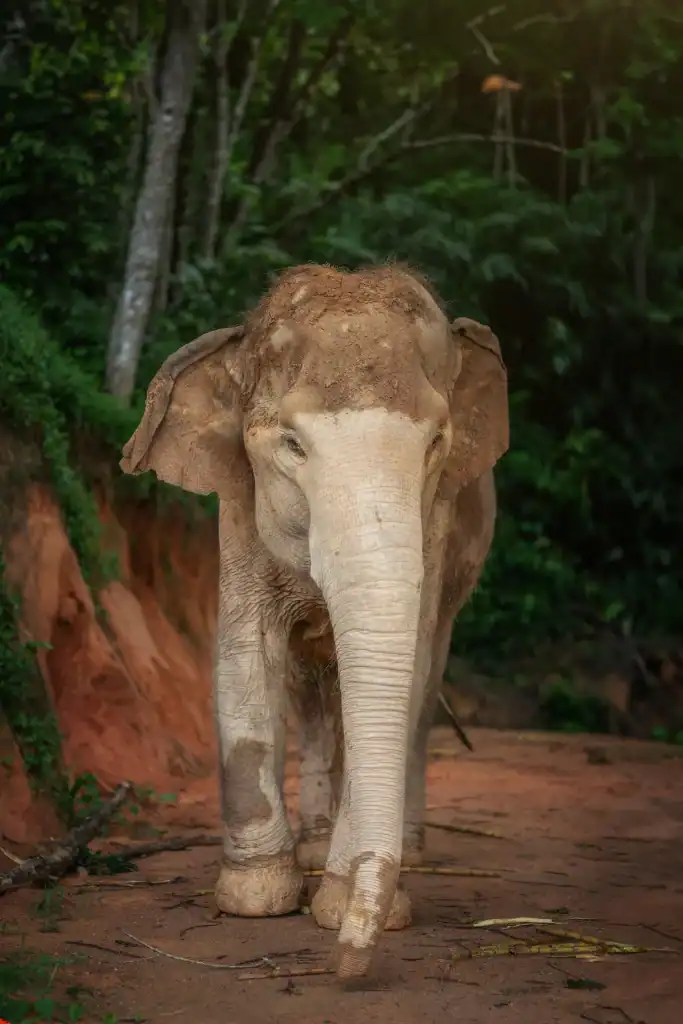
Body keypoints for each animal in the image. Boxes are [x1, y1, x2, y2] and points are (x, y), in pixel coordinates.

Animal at [120, 262, 509, 981]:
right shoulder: (238, 509)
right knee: (312, 694)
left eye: (435, 444)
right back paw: (311, 846)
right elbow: (243, 656)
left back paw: (405, 849)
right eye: (292, 446)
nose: (347, 965)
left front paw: (341, 905)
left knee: (416, 693)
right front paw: (256, 899)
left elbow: (405, 672)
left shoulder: (437, 527)